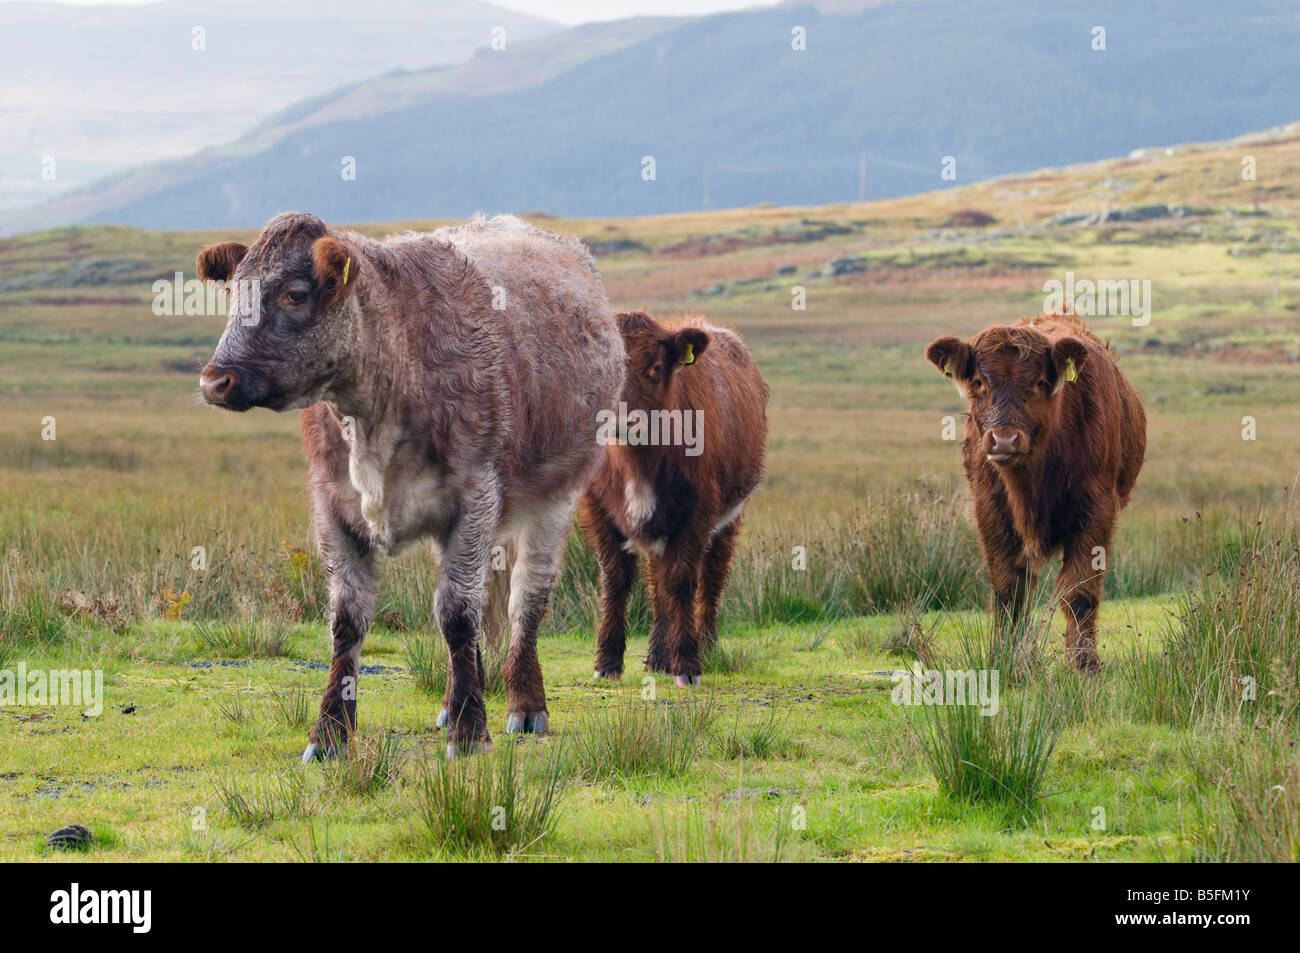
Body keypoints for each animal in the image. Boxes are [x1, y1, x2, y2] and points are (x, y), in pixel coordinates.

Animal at [196, 212, 625, 759]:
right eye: (235, 292)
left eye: (294, 294)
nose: (215, 381)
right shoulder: (331, 506)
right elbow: (349, 621)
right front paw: (330, 732)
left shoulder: (475, 499)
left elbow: (458, 614)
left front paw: (470, 730)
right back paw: (451, 702)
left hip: (556, 498)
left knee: (525, 598)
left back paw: (525, 704)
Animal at [580, 310, 768, 686]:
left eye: (655, 367)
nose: (619, 419)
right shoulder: (597, 507)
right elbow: (616, 578)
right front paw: (607, 662)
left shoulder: (697, 511)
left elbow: (681, 578)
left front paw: (687, 664)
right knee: (658, 584)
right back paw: (657, 658)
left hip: (729, 517)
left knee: (710, 578)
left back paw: (705, 646)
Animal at [925, 311, 1145, 671]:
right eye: (979, 382)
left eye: (1040, 382)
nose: (1004, 439)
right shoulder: (991, 512)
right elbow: (1009, 591)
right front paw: (1006, 656)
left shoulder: (1096, 512)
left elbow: (1079, 592)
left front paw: (1084, 663)